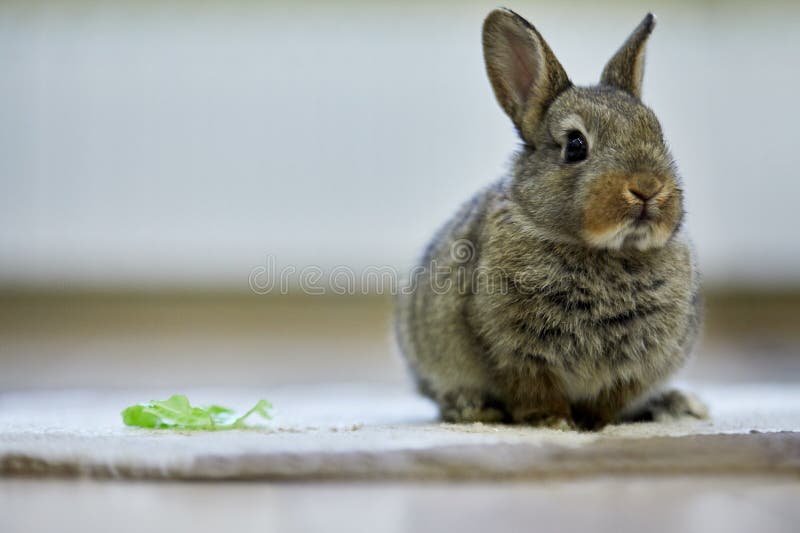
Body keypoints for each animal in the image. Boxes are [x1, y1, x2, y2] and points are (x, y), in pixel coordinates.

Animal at [395, 9, 708, 430]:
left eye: (658, 134)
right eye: (575, 146)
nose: (647, 187)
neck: (605, 251)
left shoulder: (637, 364)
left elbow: (609, 399)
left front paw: (594, 425)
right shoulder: (514, 350)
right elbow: (534, 390)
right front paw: (554, 423)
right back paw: (472, 408)